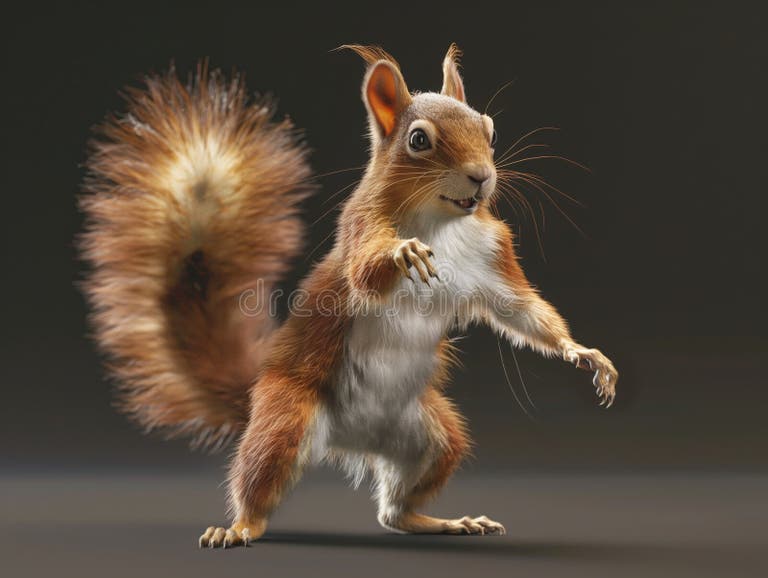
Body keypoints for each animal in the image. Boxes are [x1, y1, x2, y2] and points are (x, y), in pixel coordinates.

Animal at [80, 44, 618, 548]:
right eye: (418, 140)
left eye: (490, 130)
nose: (481, 177)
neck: (440, 222)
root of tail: (354, 439)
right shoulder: (361, 225)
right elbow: (363, 273)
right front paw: (403, 252)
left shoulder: (491, 253)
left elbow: (521, 309)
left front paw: (585, 354)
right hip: (286, 417)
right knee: (260, 478)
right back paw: (239, 527)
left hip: (433, 434)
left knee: (396, 511)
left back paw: (444, 521)